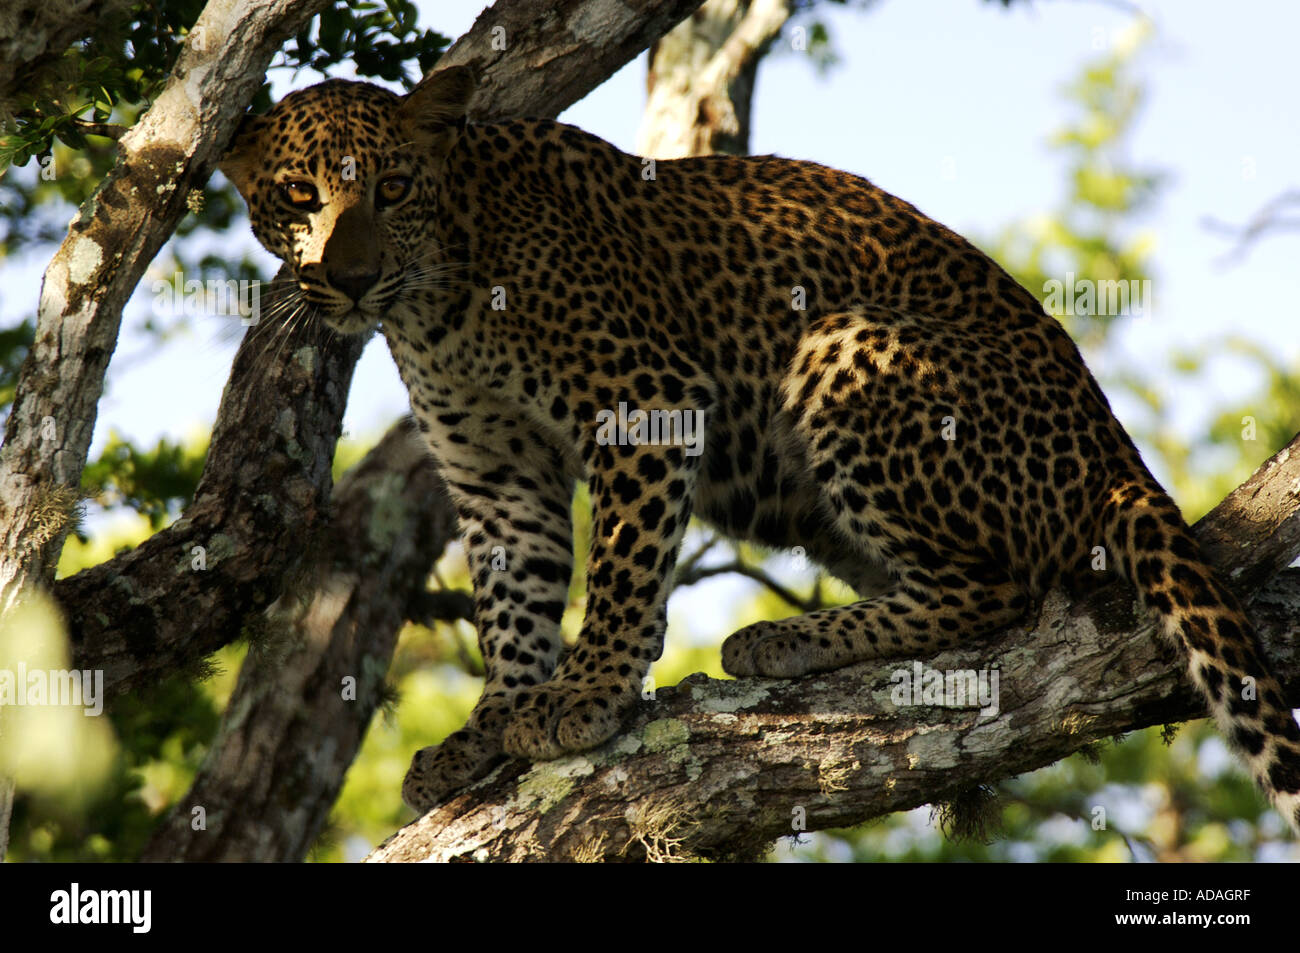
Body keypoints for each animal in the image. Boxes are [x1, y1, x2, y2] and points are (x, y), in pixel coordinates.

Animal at [219, 65, 1300, 831]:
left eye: (394, 186)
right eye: (297, 194)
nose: (349, 280)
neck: (435, 297)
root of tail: (1118, 452)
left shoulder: (643, 398)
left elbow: (621, 570)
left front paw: (589, 693)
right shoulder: (496, 475)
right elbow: (513, 608)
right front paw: (492, 724)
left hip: (846, 342)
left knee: (996, 587)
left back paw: (782, 638)